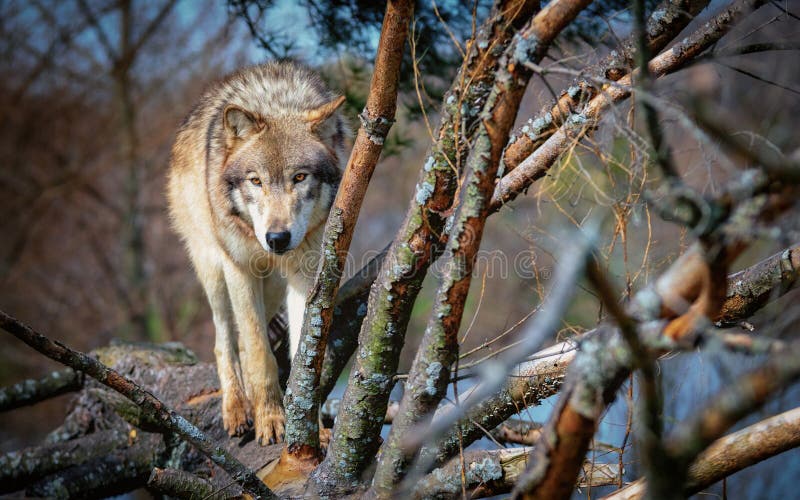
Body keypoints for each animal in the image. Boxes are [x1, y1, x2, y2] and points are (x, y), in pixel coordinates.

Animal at [167, 61, 347, 444]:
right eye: (256, 181)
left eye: (299, 177)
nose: (277, 238)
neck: (276, 102)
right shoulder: (239, 268)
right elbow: (259, 353)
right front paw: (271, 419)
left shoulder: (304, 275)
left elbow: (302, 358)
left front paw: (310, 430)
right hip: (213, 268)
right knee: (226, 339)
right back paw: (237, 408)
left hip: (274, 283)